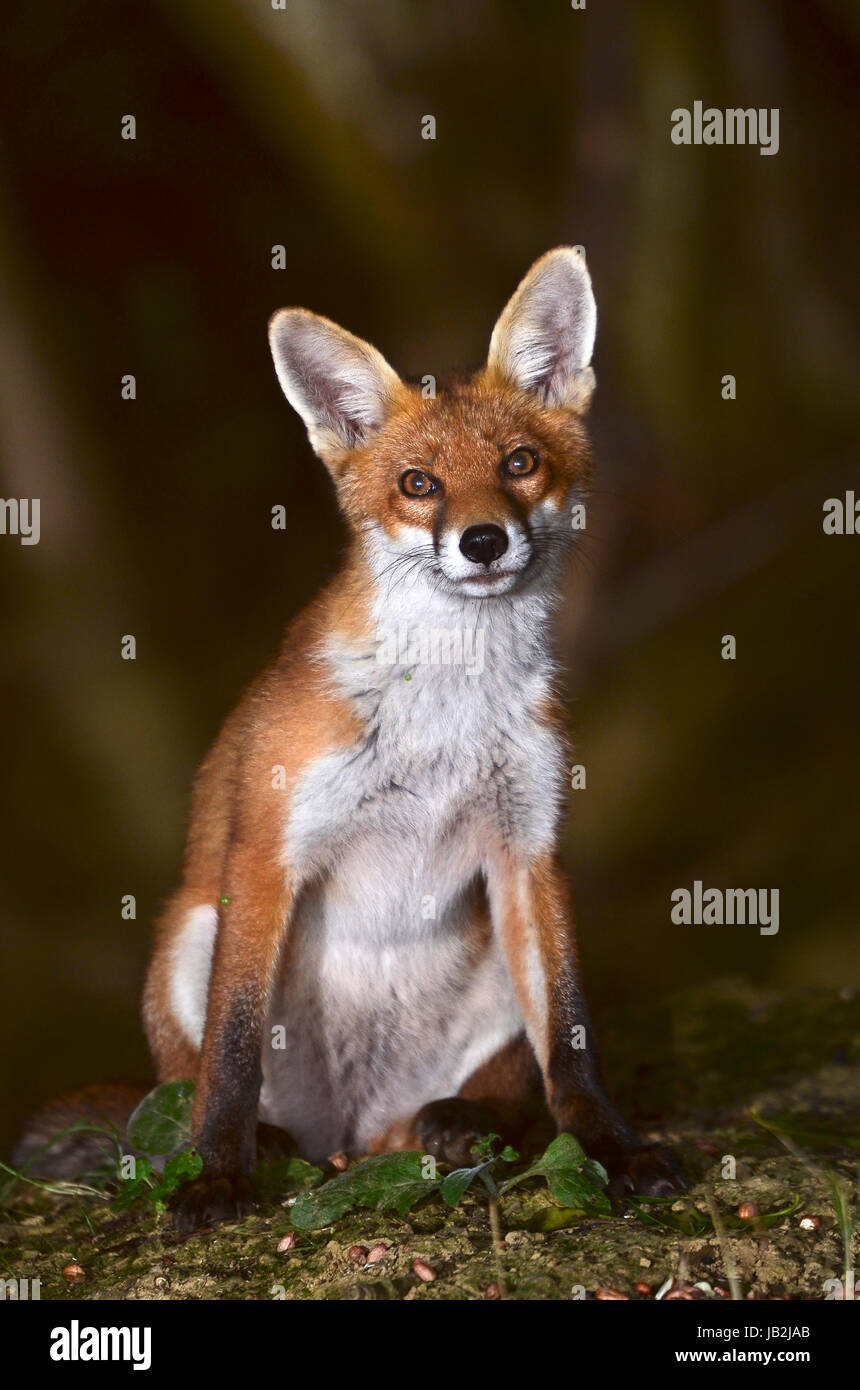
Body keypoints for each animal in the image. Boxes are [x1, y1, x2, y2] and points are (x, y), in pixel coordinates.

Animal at [16, 248, 683, 1229]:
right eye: (419, 484)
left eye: (520, 464)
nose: (484, 542)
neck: (444, 705)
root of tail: (349, 1136)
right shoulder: (267, 850)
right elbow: (233, 1051)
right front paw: (218, 1174)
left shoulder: (530, 849)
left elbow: (571, 1043)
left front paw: (613, 1151)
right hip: (189, 930)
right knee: (193, 1087)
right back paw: (263, 1146)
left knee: (486, 1096)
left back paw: (466, 1123)